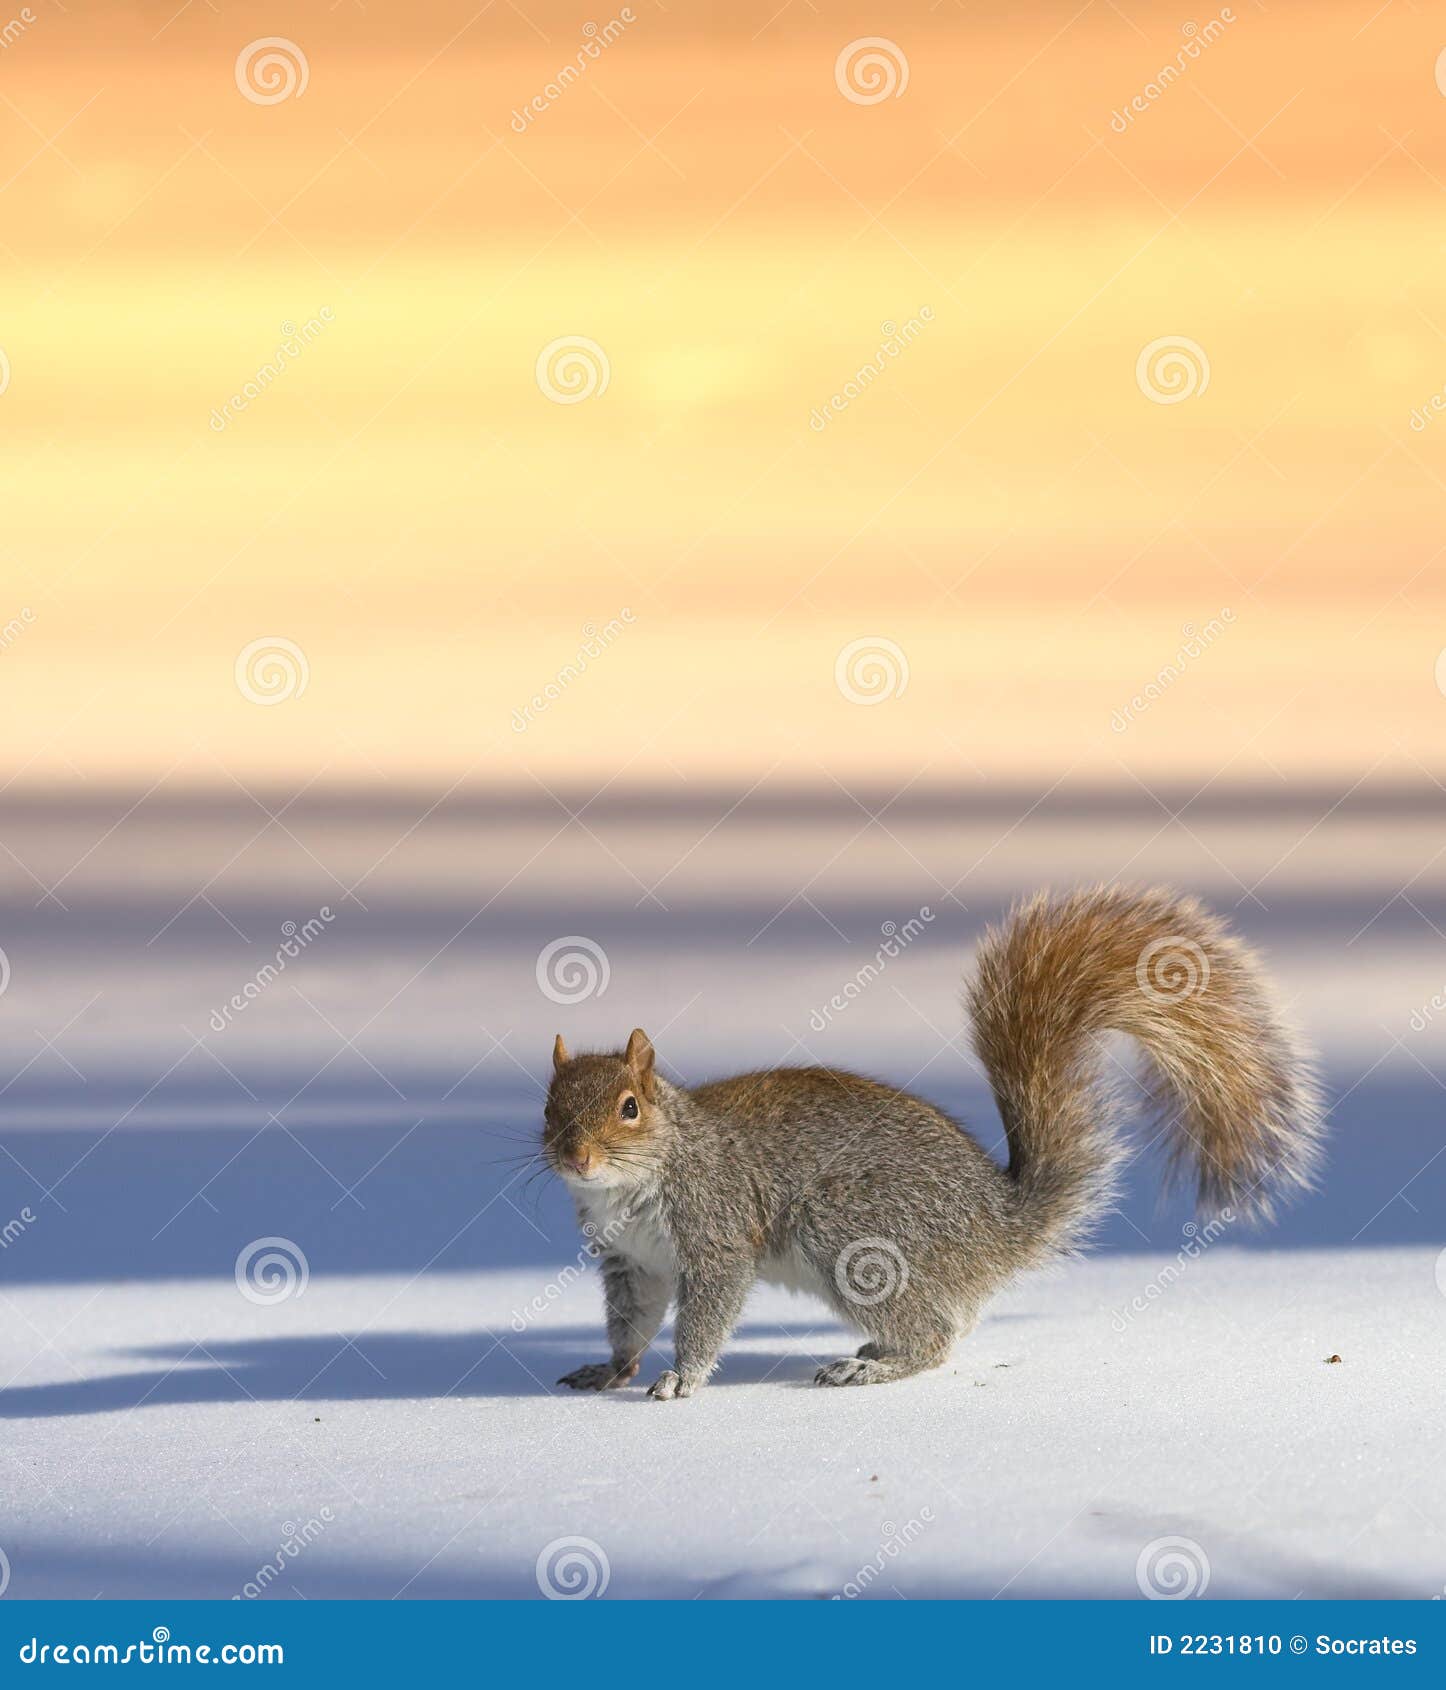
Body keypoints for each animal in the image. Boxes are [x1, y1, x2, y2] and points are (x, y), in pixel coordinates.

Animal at [543, 884, 1322, 1399]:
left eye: (631, 1107)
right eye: (549, 1109)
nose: (575, 1156)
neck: (631, 1185)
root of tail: (997, 1226)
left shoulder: (716, 1229)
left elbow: (708, 1312)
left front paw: (681, 1377)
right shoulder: (632, 1262)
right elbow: (632, 1319)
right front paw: (611, 1368)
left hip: (853, 1232)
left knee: (938, 1340)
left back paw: (872, 1365)